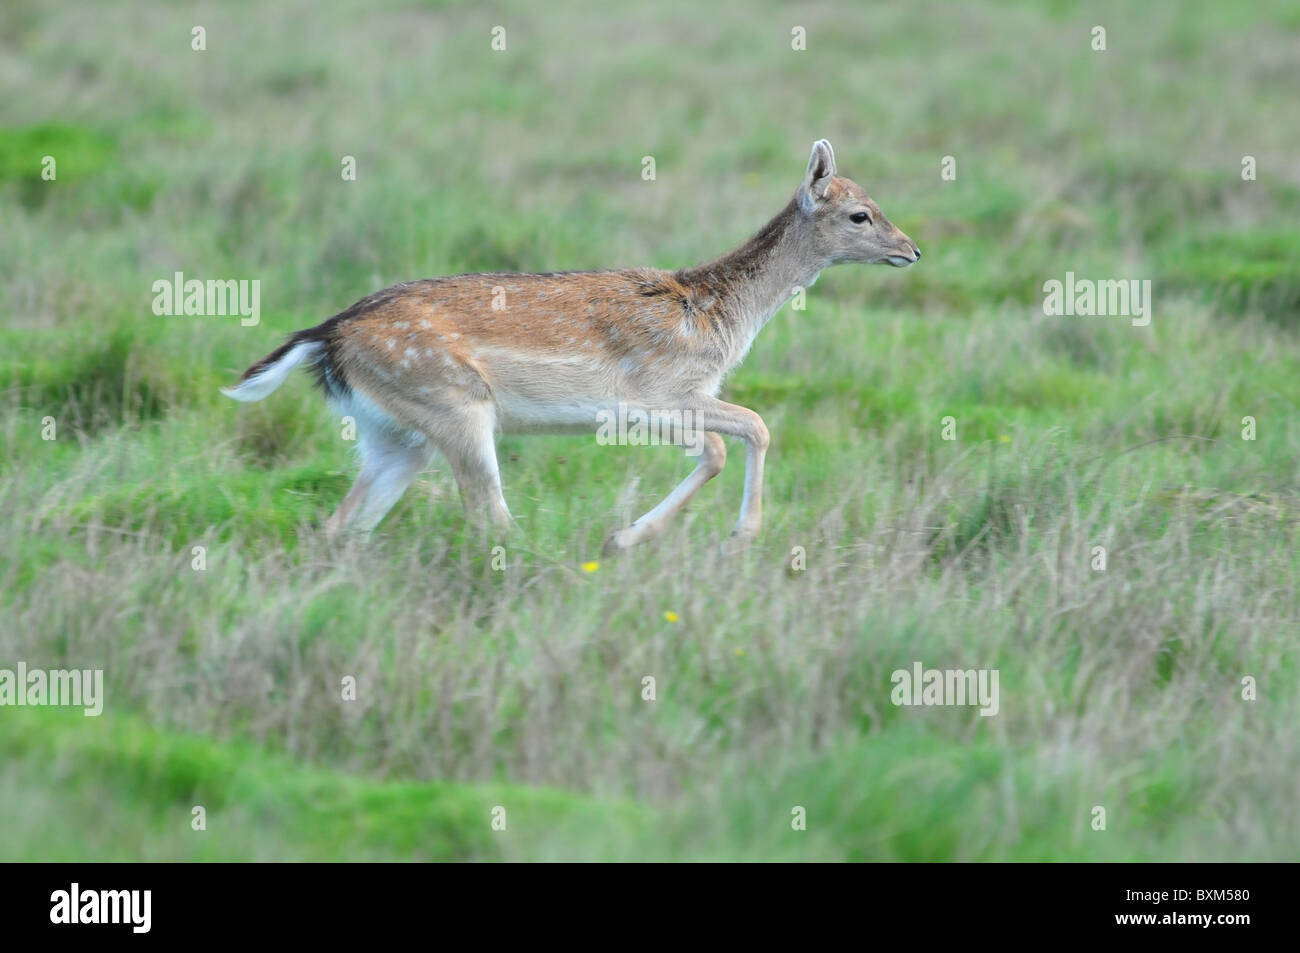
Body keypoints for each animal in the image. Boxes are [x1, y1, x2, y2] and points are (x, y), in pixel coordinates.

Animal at [222, 139, 919, 551]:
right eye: (859, 214)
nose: (911, 250)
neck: (719, 317)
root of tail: (326, 335)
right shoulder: (651, 396)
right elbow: (742, 432)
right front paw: (674, 536)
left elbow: (740, 432)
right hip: (455, 406)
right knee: (487, 515)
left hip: (393, 436)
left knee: (343, 524)